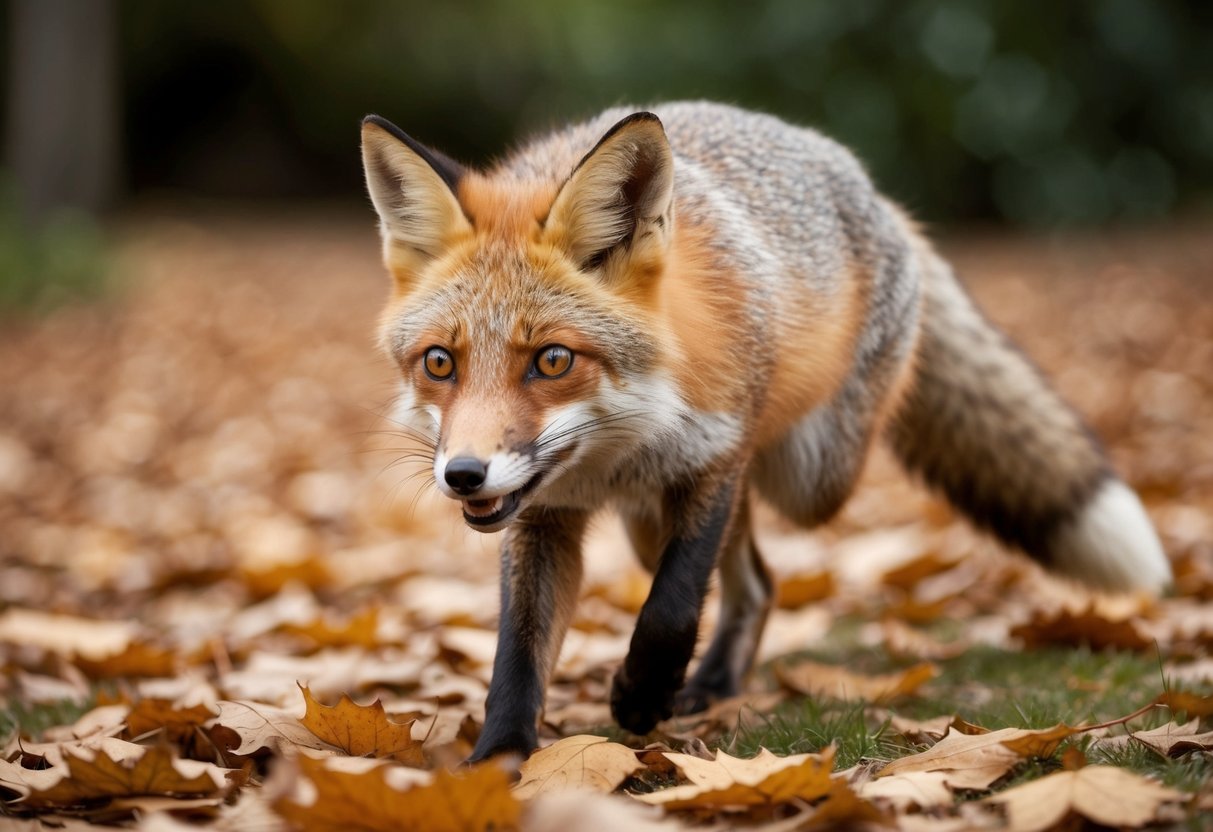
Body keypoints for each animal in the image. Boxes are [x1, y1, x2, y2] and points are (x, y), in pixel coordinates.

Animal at [359, 101, 1173, 762]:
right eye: (439, 362)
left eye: (552, 359)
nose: (462, 475)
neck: (611, 451)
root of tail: (881, 198)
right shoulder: (542, 518)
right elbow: (518, 657)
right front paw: (500, 762)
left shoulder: (718, 454)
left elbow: (671, 608)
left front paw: (642, 696)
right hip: (646, 523)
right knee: (756, 580)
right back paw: (717, 677)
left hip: (809, 474)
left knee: (756, 565)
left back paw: (705, 679)